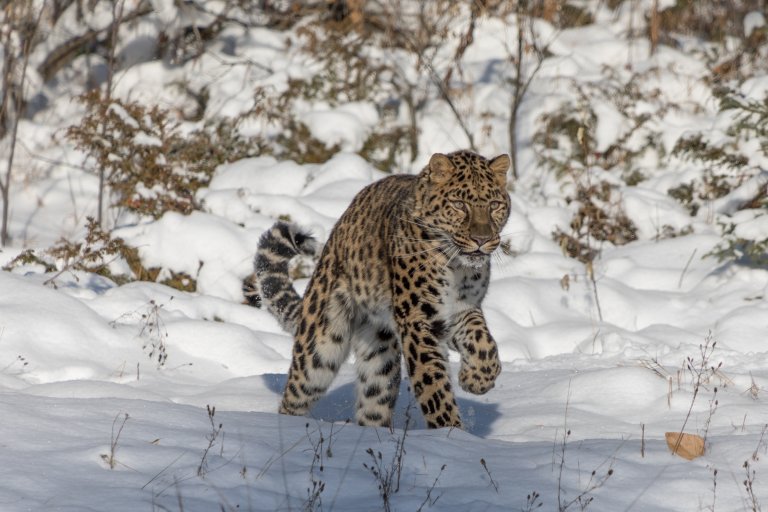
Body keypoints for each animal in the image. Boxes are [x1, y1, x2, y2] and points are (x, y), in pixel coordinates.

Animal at [248, 151, 510, 428]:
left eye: (494, 205)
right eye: (459, 205)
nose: (481, 240)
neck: (457, 266)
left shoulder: (461, 310)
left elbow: (483, 342)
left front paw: (477, 379)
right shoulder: (418, 319)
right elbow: (433, 384)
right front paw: (449, 431)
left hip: (379, 354)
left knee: (374, 403)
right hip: (319, 348)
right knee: (296, 394)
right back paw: (286, 428)